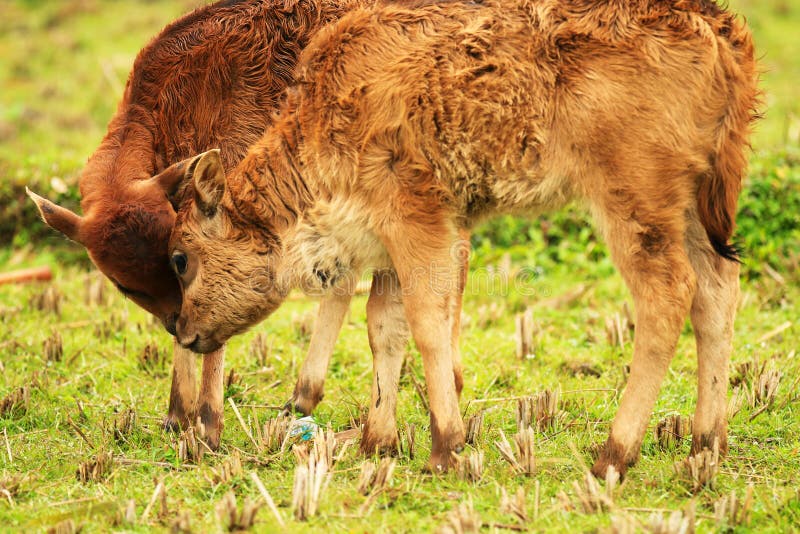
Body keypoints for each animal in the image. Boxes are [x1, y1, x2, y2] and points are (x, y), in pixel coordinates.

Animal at [165, 0, 758, 474]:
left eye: (180, 258)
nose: (184, 330)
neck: (323, 113)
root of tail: (716, 27)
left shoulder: (416, 219)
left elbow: (429, 323)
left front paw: (444, 448)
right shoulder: (403, 237)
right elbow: (385, 327)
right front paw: (377, 442)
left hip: (634, 202)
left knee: (667, 297)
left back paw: (613, 454)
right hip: (694, 207)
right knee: (717, 291)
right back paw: (706, 445)